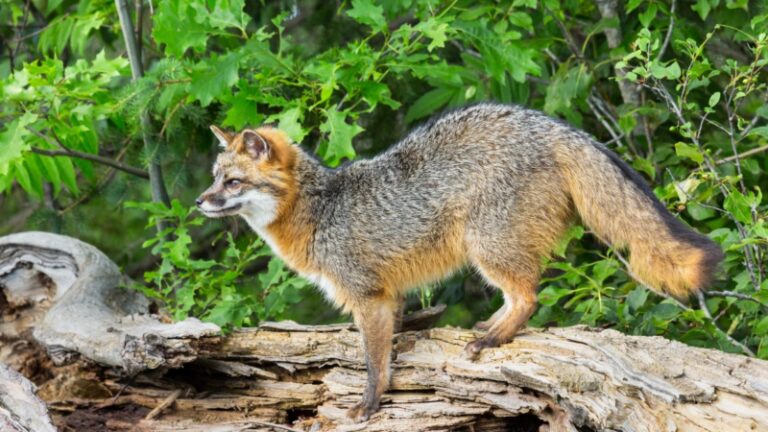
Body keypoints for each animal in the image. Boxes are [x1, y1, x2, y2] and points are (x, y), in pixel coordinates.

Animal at [196, 103, 723, 422]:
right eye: (215, 178)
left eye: (232, 183)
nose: (198, 202)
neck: (321, 209)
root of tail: (547, 123)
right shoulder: (391, 296)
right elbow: (391, 344)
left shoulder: (368, 296)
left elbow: (372, 362)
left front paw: (369, 404)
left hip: (484, 247)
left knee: (529, 295)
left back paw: (493, 337)